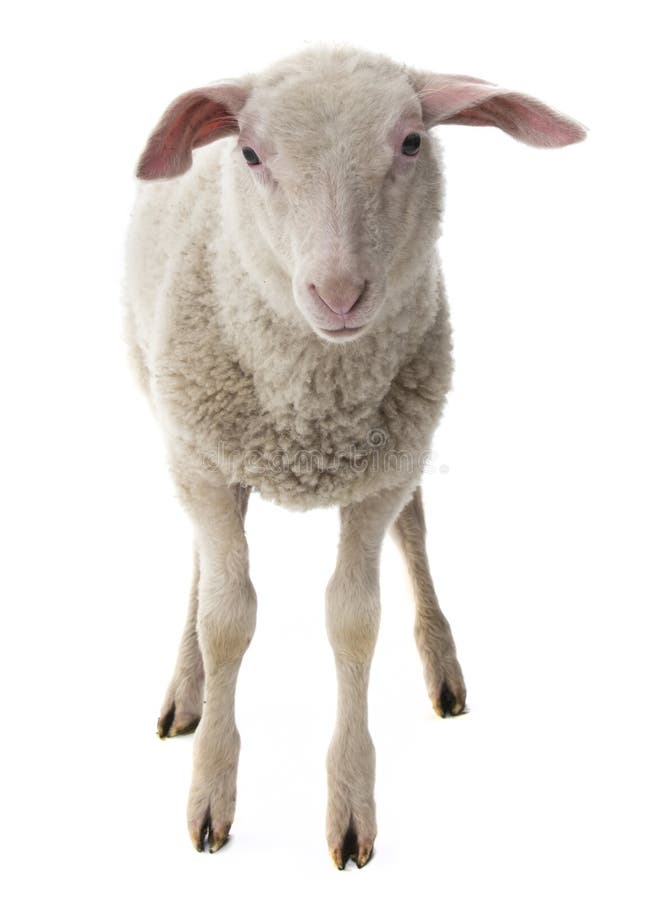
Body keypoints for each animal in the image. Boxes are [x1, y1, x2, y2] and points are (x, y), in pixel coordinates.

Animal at [124, 45, 585, 869]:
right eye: (250, 153)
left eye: (411, 142)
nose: (338, 292)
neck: (311, 412)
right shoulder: (203, 460)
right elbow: (226, 618)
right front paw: (210, 794)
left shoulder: (382, 476)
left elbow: (353, 619)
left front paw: (349, 810)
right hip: (185, 431)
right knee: (205, 567)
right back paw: (186, 688)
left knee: (416, 535)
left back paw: (443, 669)